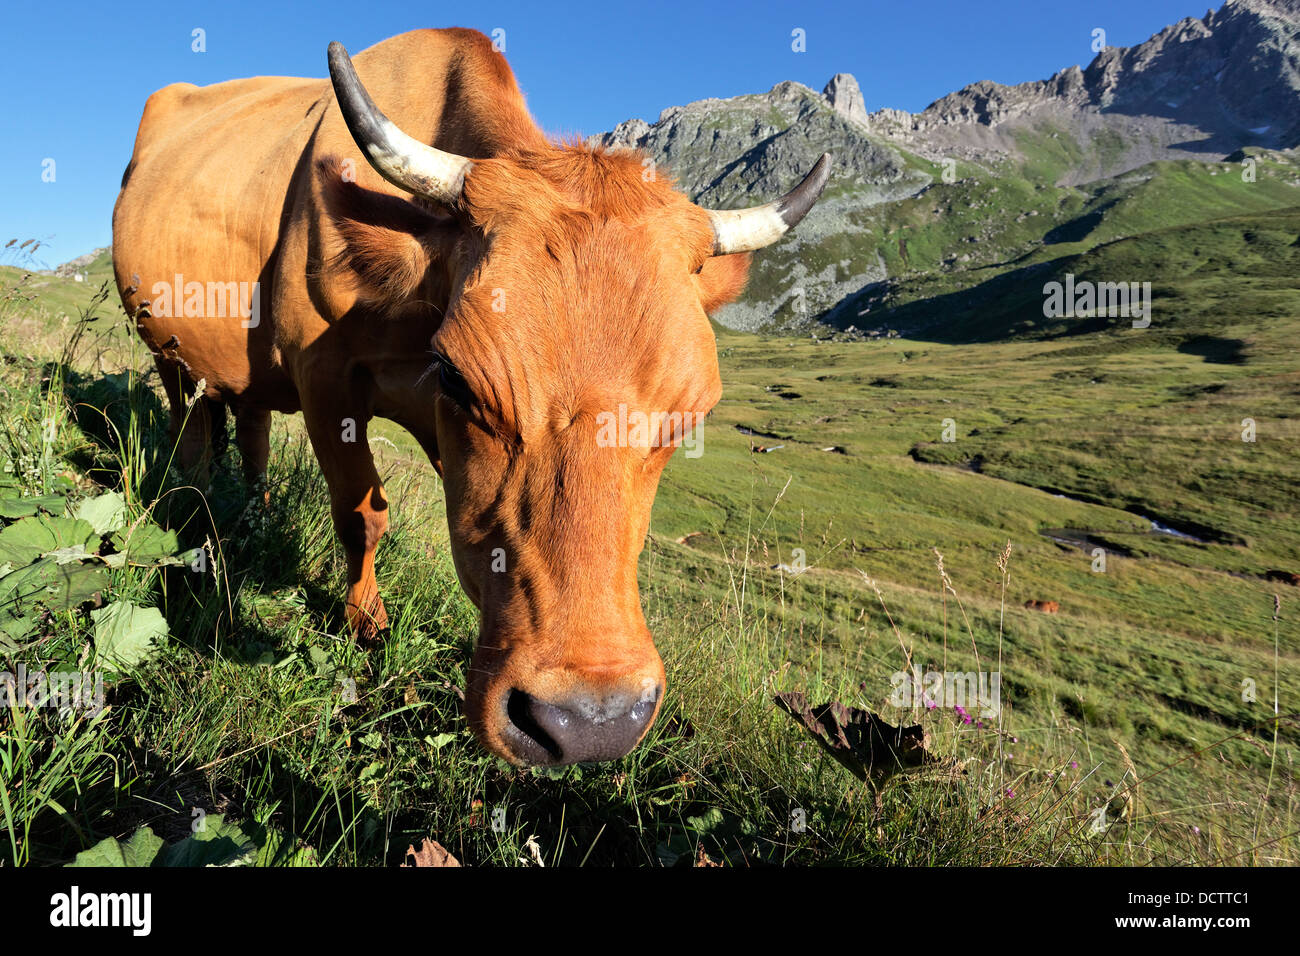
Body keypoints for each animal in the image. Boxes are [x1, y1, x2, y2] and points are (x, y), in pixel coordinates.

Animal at [112, 28, 829, 767]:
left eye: (692, 416)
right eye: (459, 378)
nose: (591, 721)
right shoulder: (324, 376)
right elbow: (361, 515)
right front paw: (367, 628)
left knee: (249, 426)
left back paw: (252, 512)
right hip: (164, 344)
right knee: (192, 428)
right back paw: (196, 506)